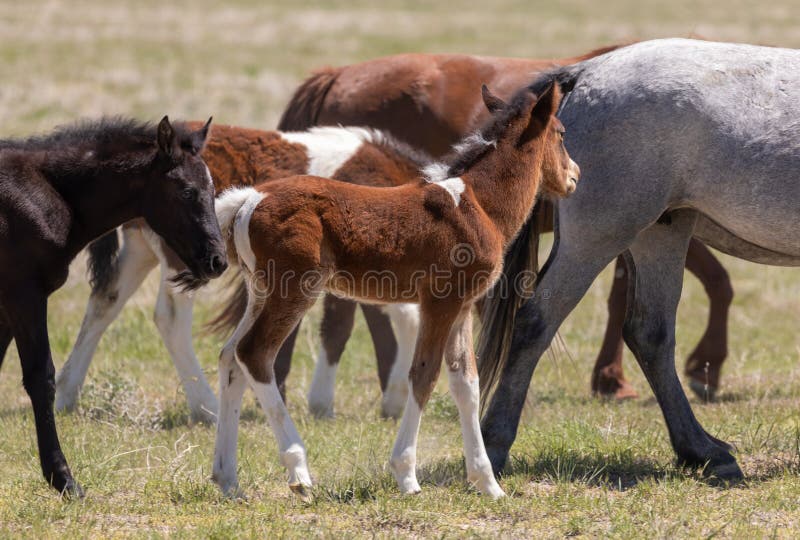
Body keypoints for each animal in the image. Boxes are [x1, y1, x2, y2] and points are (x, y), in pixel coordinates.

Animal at [0, 116, 224, 496]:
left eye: (212, 190)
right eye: (186, 191)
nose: (217, 261)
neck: (47, 192)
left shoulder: (5, 307)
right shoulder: (24, 295)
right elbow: (41, 377)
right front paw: (63, 479)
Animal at [56, 123, 435, 423]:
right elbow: (384, 321)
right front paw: (383, 400)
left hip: (141, 249)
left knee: (105, 301)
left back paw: (65, 394)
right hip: (179, 254)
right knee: (170, 319)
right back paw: (207, 407)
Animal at [209, 84, 578, 498]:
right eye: (562, 133)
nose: (575, 175)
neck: (478, 205)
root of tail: (249, 200)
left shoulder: (463, 308)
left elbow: (467, 383)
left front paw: (488, 483)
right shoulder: (440, 302)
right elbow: (423, 374)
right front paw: (406, 475)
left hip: (261, 292)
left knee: (230, 358)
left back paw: (227, 478)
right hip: (294, 290)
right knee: (254, 353)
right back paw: (298, 469)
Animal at [277, 46, 733, 403]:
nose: (575, 172)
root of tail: (336, 76)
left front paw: (613, 378)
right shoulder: (646, 219)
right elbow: (715, 282)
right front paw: (700, 368)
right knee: (343, 315)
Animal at [478, 38, 800, 480]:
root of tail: (586, 73)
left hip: (660, 233)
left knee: (650, 334)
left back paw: (701, 451)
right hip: (597, 239)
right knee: (534, 323)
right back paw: (493, 445)